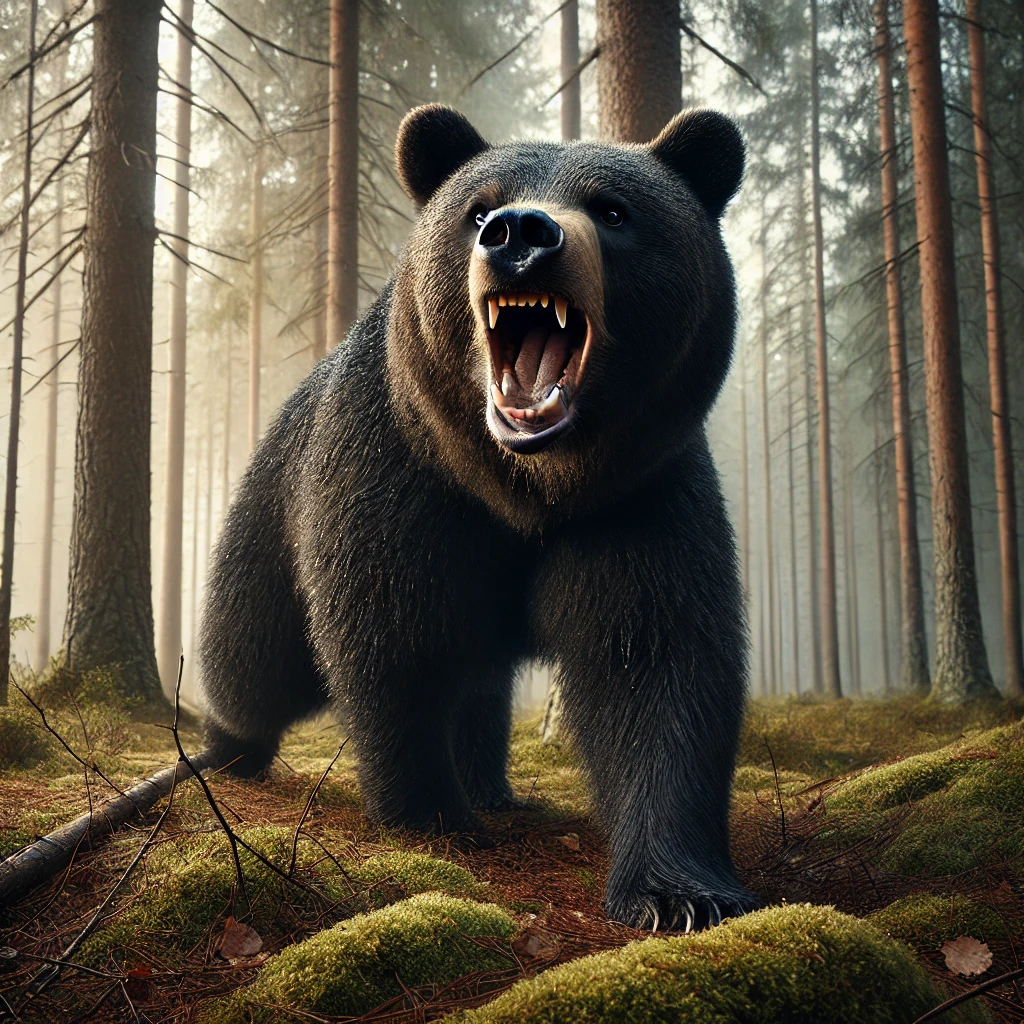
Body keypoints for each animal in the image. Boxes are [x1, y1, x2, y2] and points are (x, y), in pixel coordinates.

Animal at [199, 103, 759, 932]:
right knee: (250, 660)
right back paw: (226, 745)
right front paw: (427, 810)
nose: (521, 234)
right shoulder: (399, 479)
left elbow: (658, 664)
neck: (525, 487)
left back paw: (492, 785)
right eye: (477, 208)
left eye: (614, 210)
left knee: (479, 684)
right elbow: (391, 638)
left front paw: (681, 892)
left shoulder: (639, 500)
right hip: (271, 520)